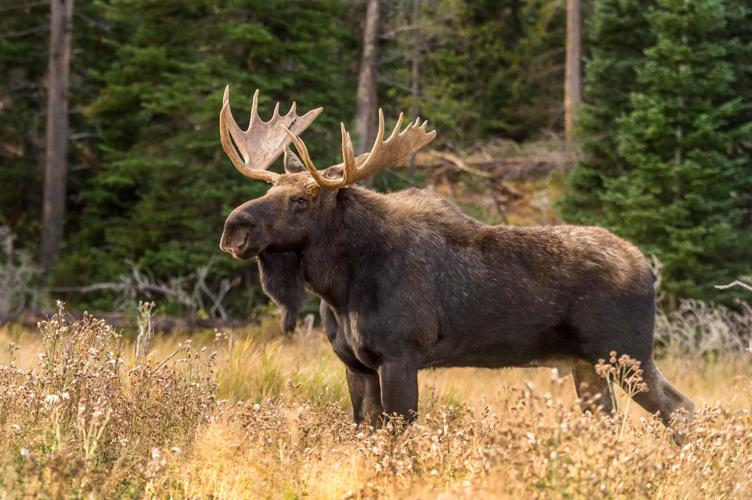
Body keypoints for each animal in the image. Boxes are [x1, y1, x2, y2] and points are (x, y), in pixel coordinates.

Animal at [218, 87, 694, 430]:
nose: (234, 227)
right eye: (269, 189)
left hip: (626, 354)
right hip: (590, 366)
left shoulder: (400, 354)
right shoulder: (355, 364)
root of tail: (648, 271)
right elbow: (365, 431)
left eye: (301, 199)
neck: (340, 289)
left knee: (682, 408)